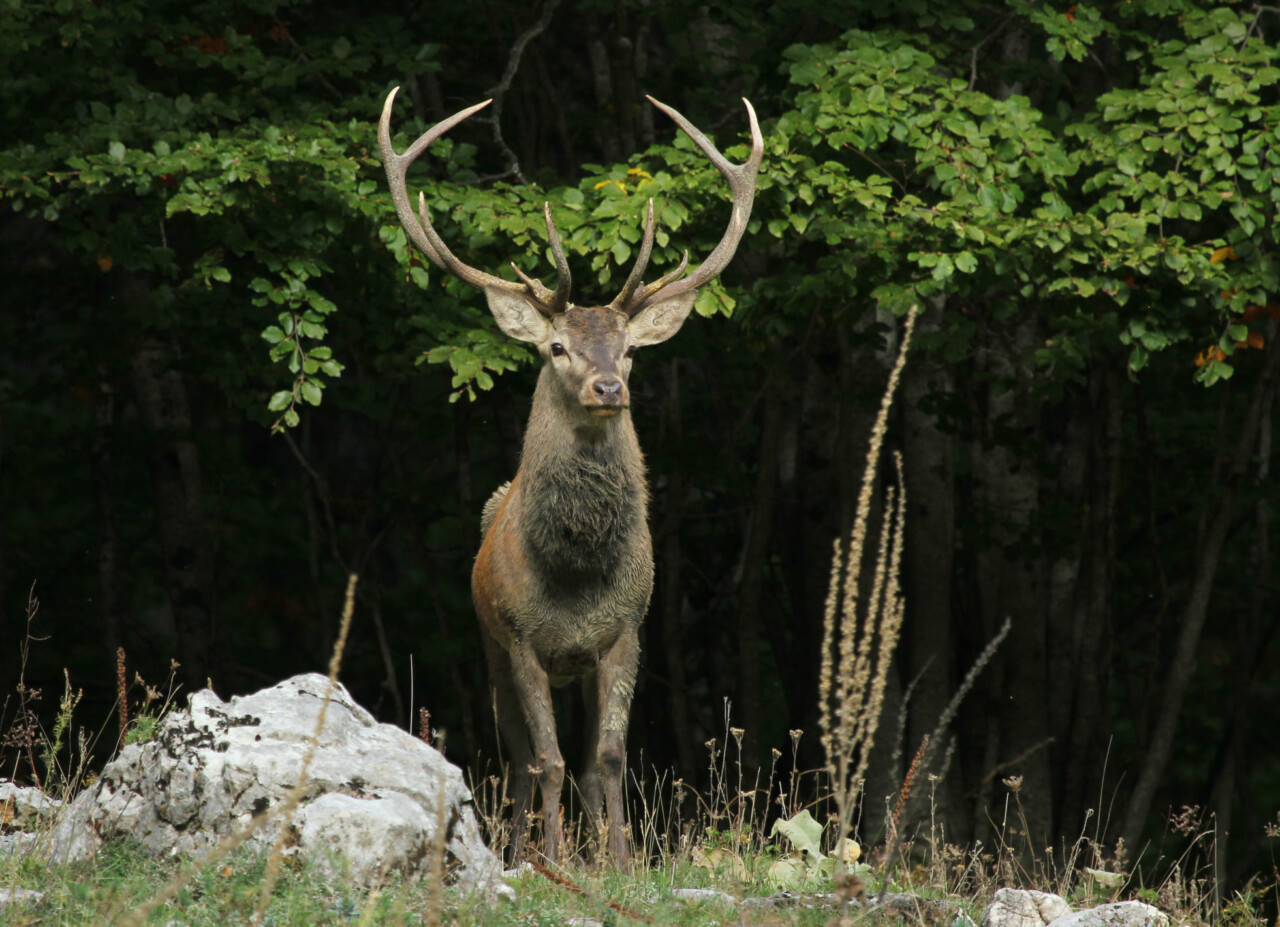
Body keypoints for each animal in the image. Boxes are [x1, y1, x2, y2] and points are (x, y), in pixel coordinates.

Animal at [379, 87, 762, 866]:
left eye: (631, 349)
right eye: (556, 347)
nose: (608, 387)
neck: (578, 576)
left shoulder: (624, 635)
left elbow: (605, 758)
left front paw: (617, 861)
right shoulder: (522, 639)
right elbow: (546, 760)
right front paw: (550, 861)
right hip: (489, 647)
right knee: (519, 758)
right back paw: (526, 845)